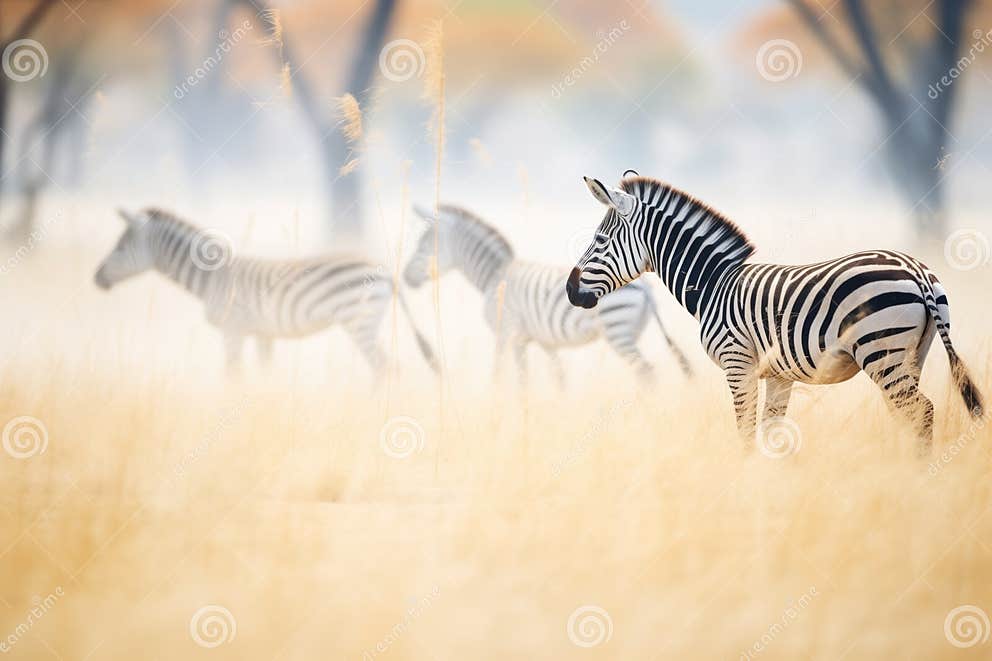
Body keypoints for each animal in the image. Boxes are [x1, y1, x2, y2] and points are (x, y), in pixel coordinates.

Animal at [94, 208, 436, 375]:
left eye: (120, 247)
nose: (96, 278)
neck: (213, 279)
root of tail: (387, 273)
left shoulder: (233, 329)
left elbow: (233, 375)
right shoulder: (262, 333)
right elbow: (264, 375)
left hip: (358, 321)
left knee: (385, 368)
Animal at [402, 204, 692, 384]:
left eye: (423, 244)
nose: (405, 277)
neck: (495, 275)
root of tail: (645, 287)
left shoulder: (508, 333)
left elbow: (505, 376)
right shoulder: (543, 341)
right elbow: (555, 378)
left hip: (617, 331)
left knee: (647, 372)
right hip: (629, 332)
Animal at [566, 172, 983, 453]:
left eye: (599, 240)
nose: (570, 290)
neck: (715, 285)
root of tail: (915, 269)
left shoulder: (738, 364)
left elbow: (746, 431)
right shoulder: (778, 375)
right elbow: (772, 431)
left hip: (880, 351)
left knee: (920, 411)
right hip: (912, 353)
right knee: (911, 413)